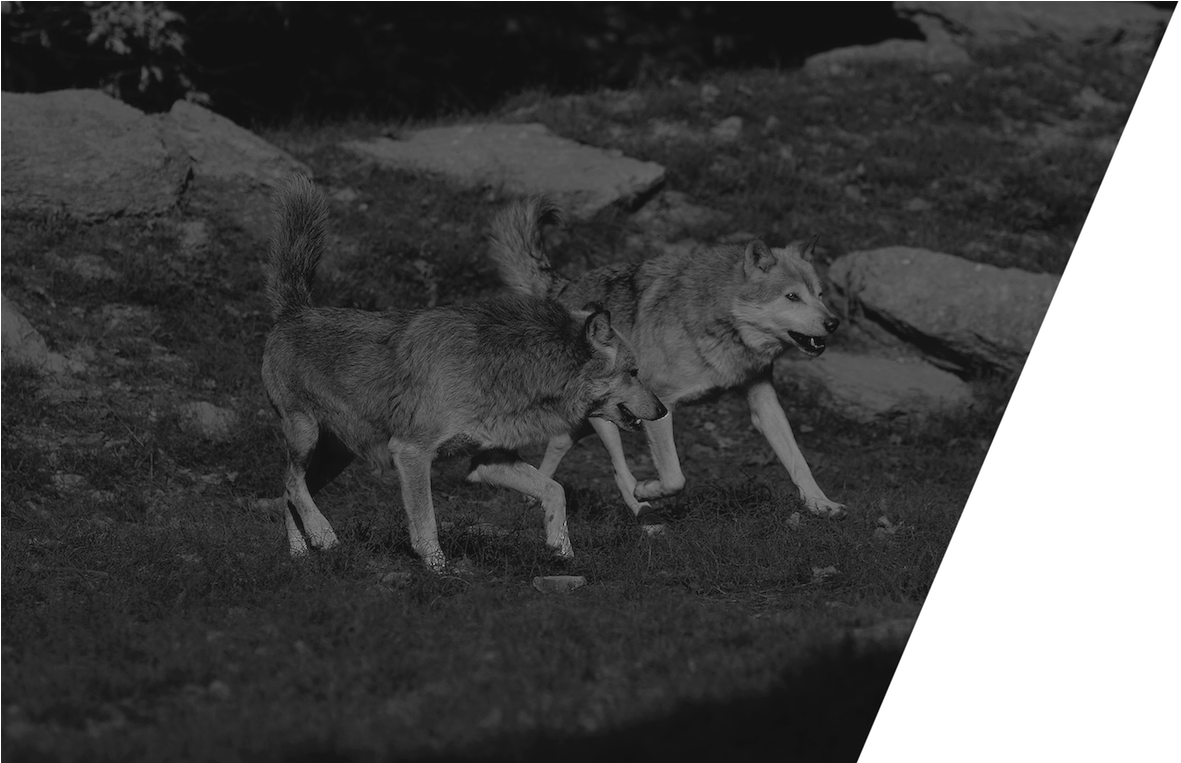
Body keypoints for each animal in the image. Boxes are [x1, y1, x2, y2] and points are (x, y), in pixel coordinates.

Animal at [261, 176, 666, 571]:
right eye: (634, 372)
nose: (662, 409)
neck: (503, 372)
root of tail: (293, 311)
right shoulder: (411, 452)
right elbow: (426, 522)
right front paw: (439, 569)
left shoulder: (488, 462)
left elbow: (556, 490)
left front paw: (561, 549)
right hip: (306, 435)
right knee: (291, 483)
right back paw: (323, 535)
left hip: (336, 456)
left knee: (288, 494)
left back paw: (300, 554)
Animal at [489, 195, 845, 522]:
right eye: (792, 297)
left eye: (819, 295)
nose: (833, 323)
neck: (717, 320)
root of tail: (564, 287)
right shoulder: (661, 405)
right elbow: (674, 477)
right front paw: (648, 488)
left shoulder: (763, 399)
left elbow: (797, 458)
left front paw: (821, 504)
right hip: (609, 418)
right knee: (618, 470)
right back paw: (643, 512)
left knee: (559, 442)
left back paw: (536, 497)